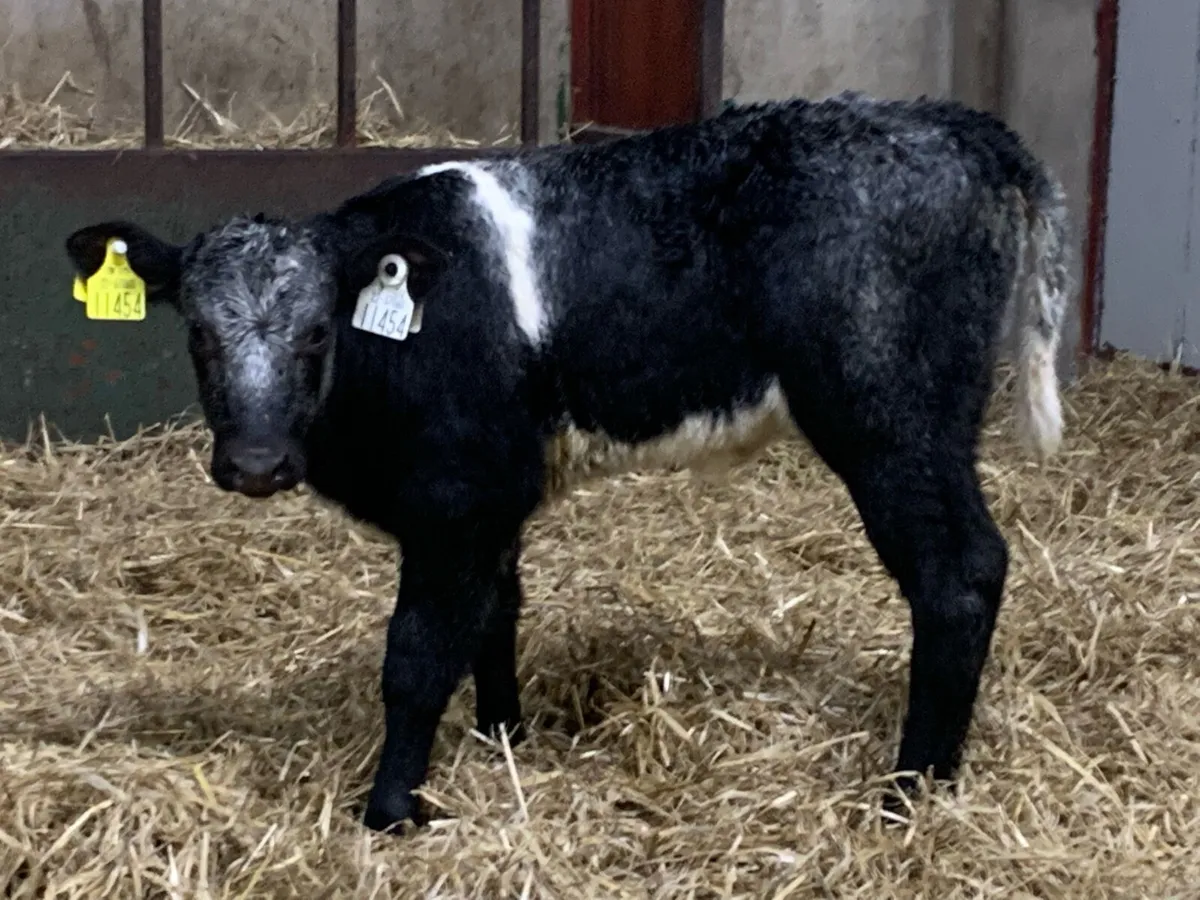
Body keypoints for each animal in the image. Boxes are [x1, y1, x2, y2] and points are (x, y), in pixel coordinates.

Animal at [65, 92, 1072, 833]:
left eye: (317, 332)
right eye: (197, 335)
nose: (256, 463)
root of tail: (959, 125)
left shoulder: (452, 505)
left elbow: (416, 656)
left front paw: (391, 810)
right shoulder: (495, 499)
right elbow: (496, 618)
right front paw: (504, 740)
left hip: (894, 424)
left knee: (959, 573)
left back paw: (911, 789)